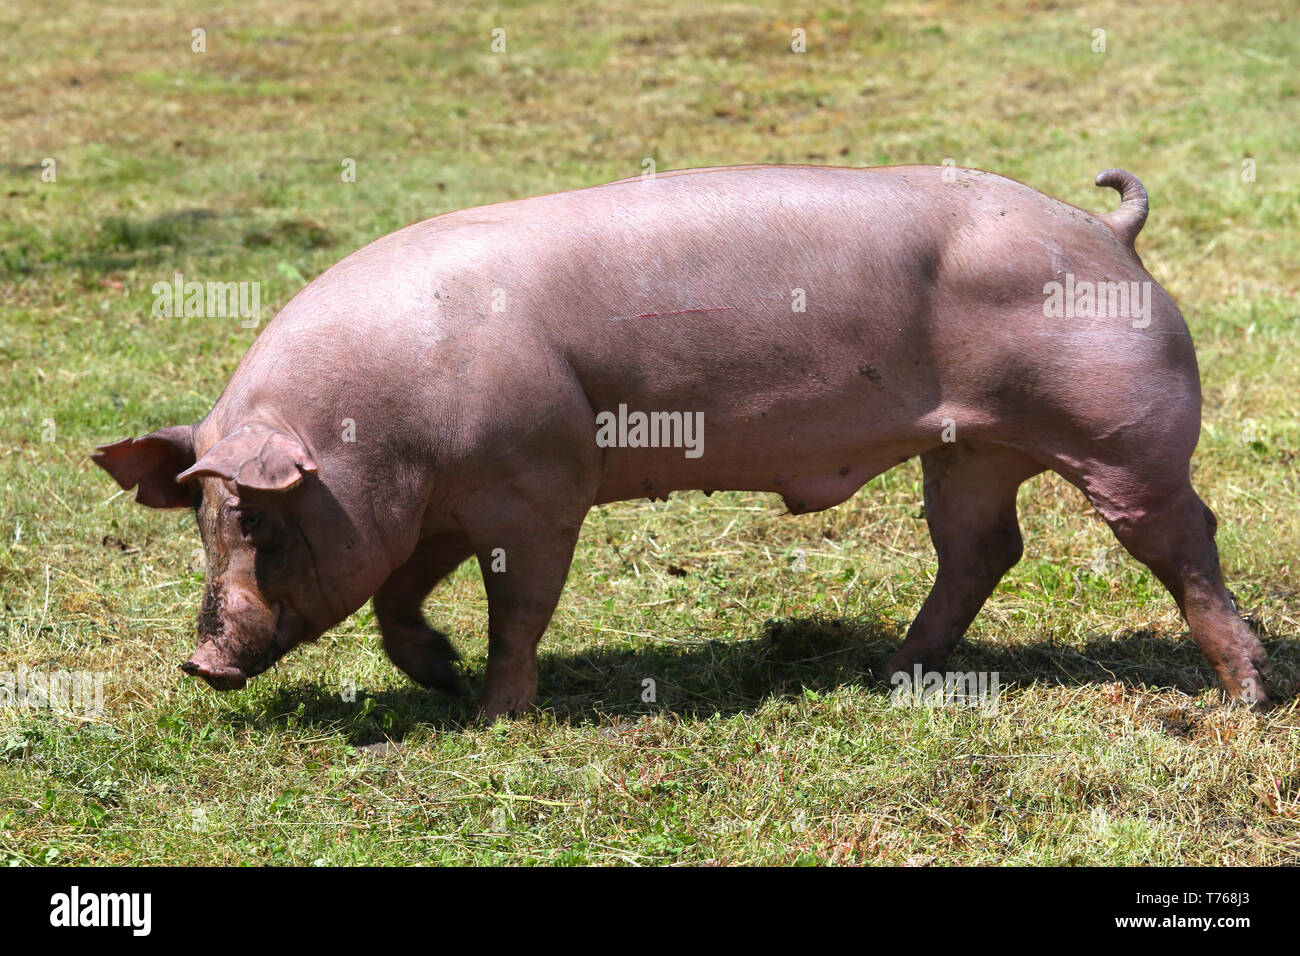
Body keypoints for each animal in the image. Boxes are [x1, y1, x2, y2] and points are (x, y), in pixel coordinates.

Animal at [93, 164, 1273, 718]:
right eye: (203, 521)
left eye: (255, 520)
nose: (200, 659)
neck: (383, 438)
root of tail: (1111, 232)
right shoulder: (432, 508)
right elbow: (398, 594)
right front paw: (437, 675)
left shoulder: (538, 488)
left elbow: (520, 604)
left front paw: (494, 712)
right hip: (969, 449)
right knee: (984, 548)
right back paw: (890, 672)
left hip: (1122, 432)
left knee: (1183, 537)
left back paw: (1248, 692)